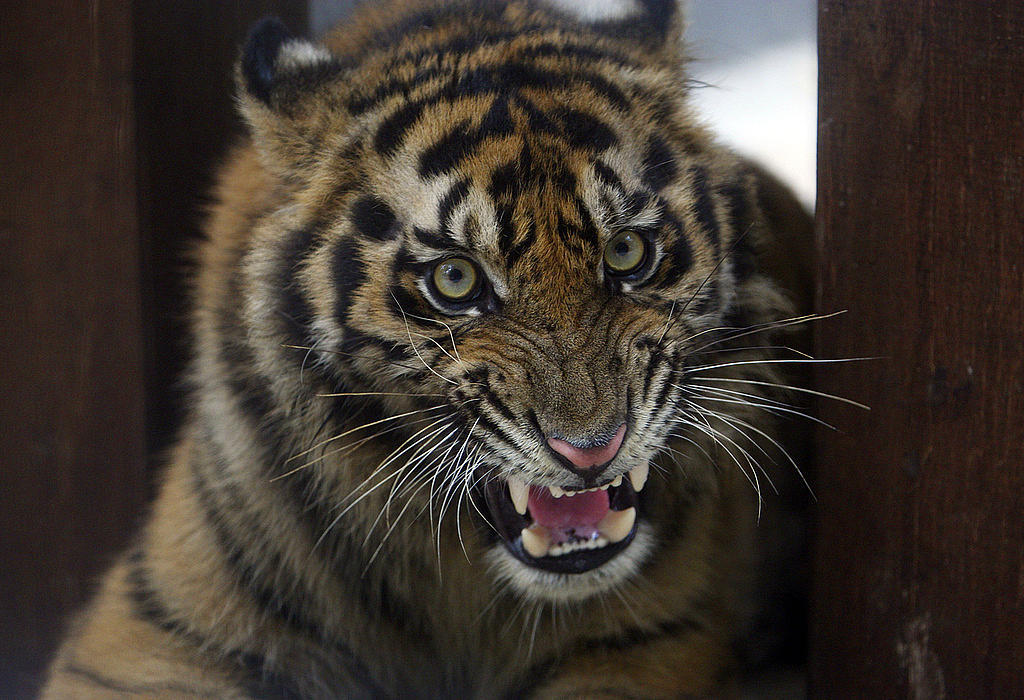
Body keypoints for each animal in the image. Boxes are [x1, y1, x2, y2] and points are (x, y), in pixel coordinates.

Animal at [42, 0, 813, 697]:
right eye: (455, 279)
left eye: (627, 252)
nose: (592, 451)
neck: (457, 587)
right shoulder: (156, 638)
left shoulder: (640, 644)